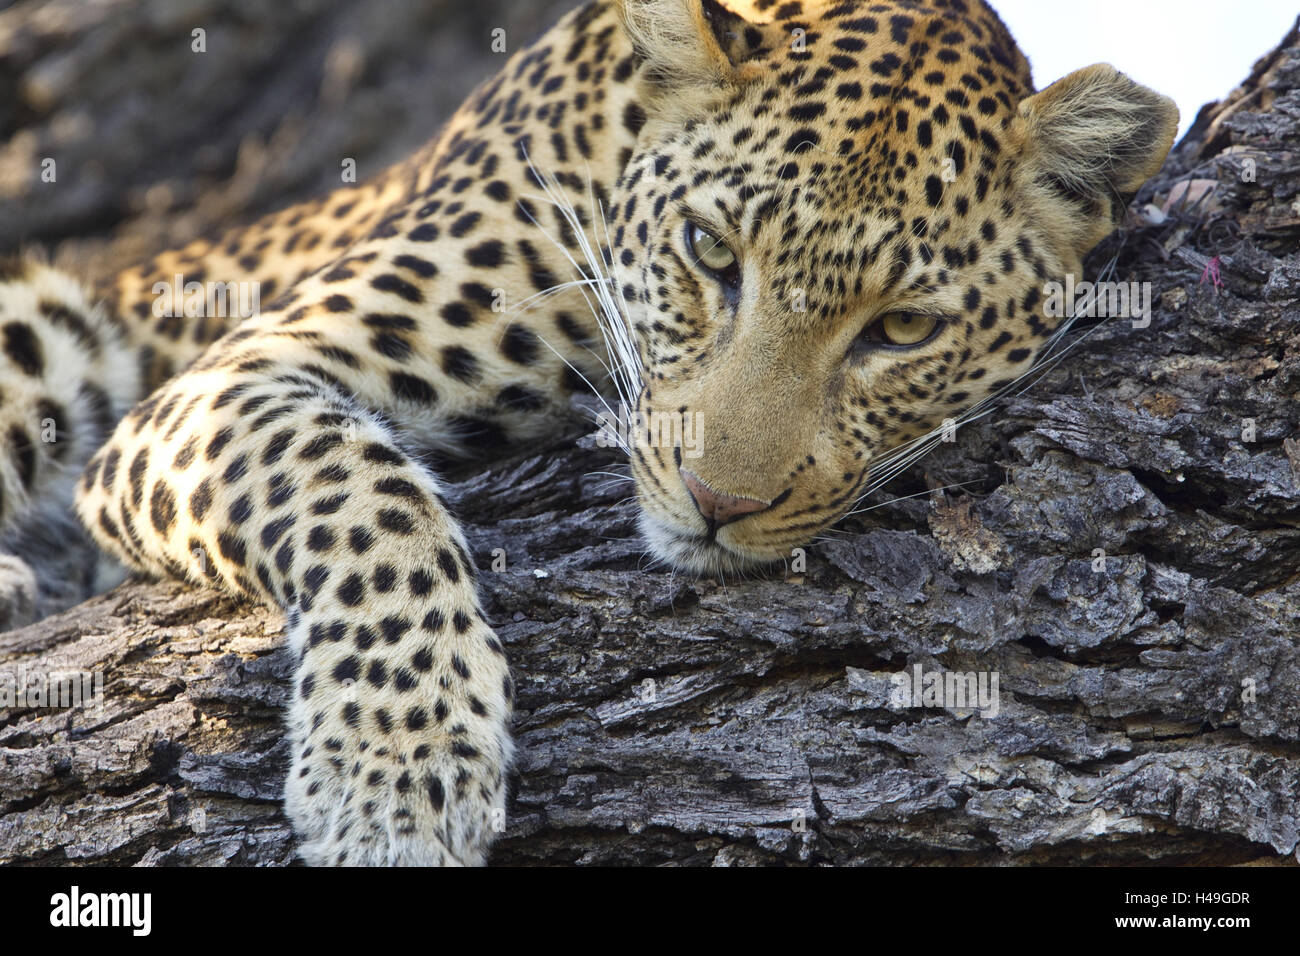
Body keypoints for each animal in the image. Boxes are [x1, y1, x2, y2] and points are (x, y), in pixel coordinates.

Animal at [0, 0, 1178, 864]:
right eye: (710, 251)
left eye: (902, 328)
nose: (719, 503)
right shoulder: (236, 374)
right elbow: (357, 494)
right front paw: (396, 769)